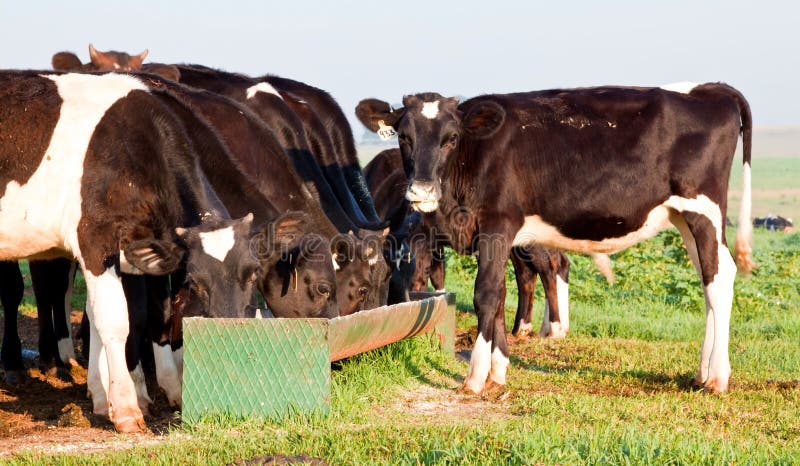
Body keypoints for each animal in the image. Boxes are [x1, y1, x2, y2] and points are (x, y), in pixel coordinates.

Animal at [0, 70, 263, 432]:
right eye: (194, 283)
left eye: (253, 273)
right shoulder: (94, 239)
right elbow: (114, 319)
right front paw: (126, 409)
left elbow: (136, 316)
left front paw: (102, 398)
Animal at [356, 82, 754, 395]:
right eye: (404, 137)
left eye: (451, 138)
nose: (420, 190)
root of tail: (709, 89)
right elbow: (500, 296)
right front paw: (499, 371)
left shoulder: (498, 225)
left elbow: (487, 294)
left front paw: (476, 377)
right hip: (683, 216)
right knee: (709, 277)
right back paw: (701, 372)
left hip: (703, 209)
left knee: (719, 280)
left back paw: (717, 377)